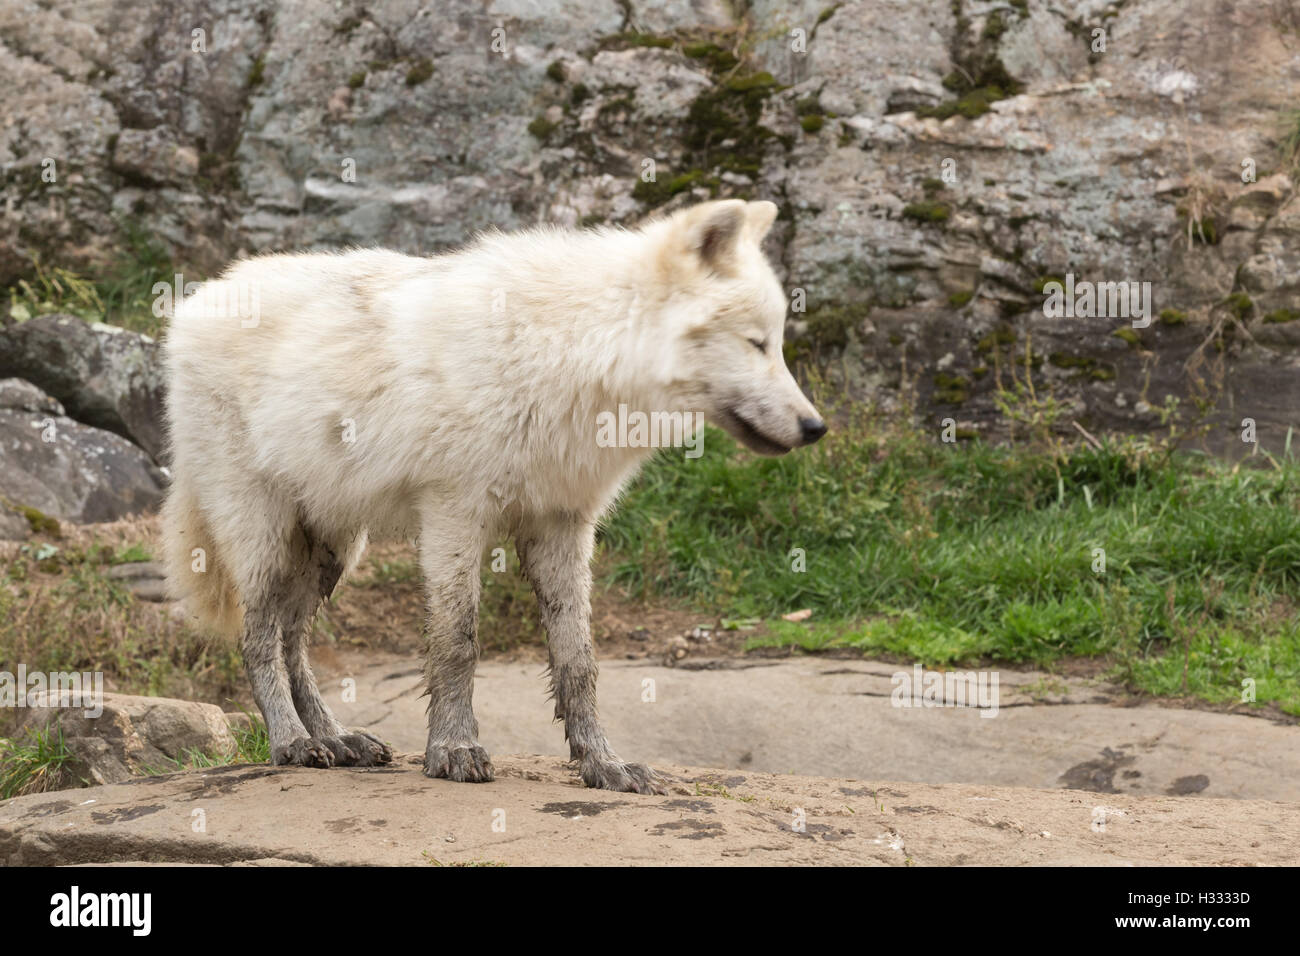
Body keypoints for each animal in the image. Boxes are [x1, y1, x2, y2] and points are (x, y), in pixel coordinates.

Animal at [161, 199, 825, 793]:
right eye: (757, 343)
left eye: (776, 343)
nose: (816, 427)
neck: (570, 353)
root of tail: (198, 300)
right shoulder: (454, 513)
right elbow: (459, 642)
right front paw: (454, 750)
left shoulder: (563, 525)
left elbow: (578, 661)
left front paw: (602, 765)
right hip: (265, 536)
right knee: (258, 639)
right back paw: (292, 742)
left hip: (333, 549)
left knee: (294, 640)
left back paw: (334, 737)